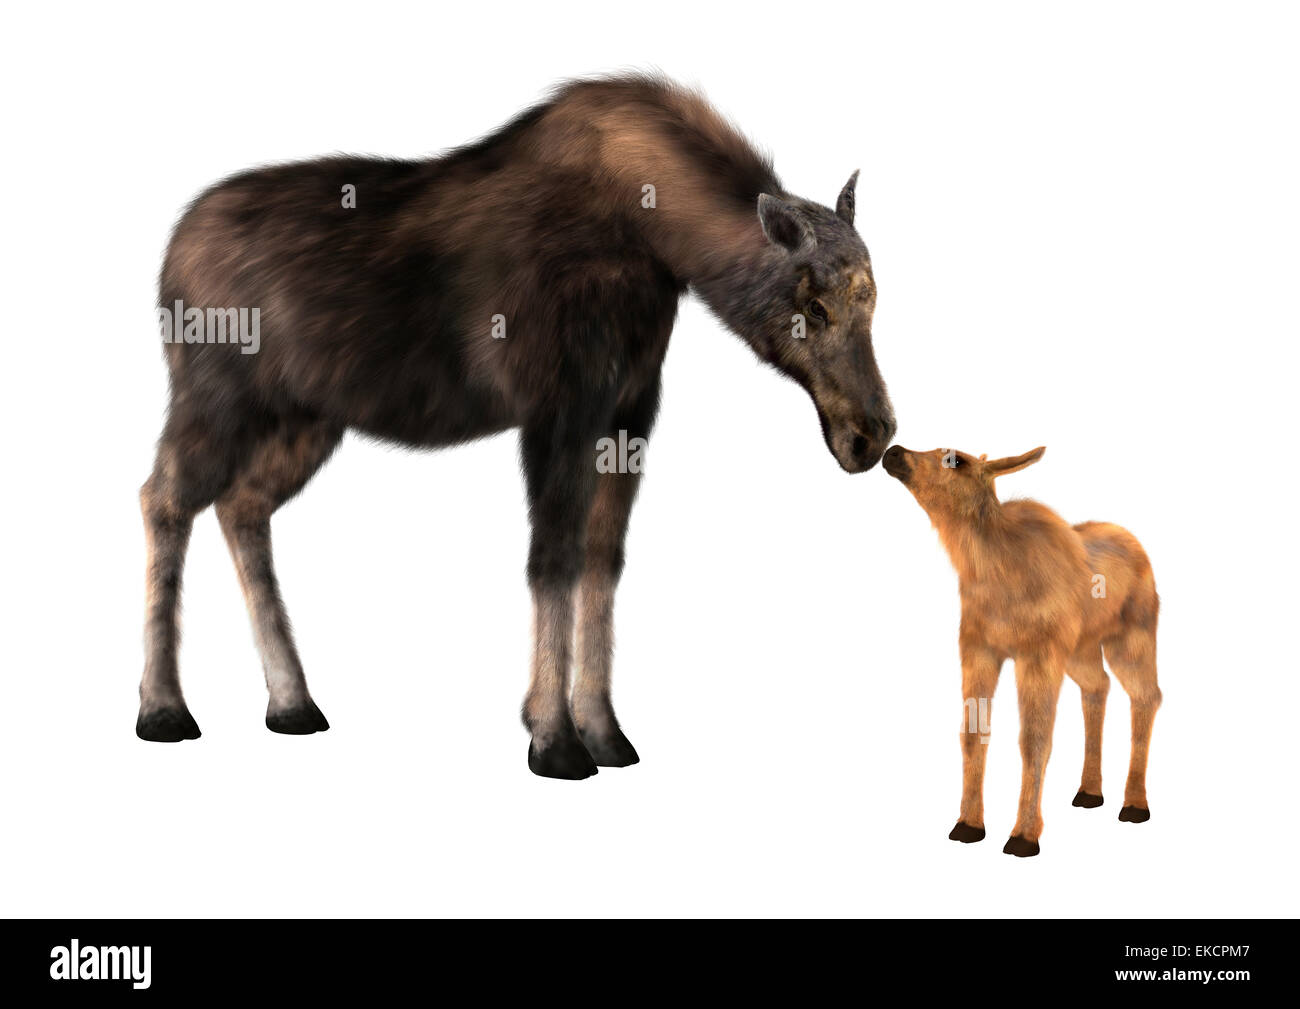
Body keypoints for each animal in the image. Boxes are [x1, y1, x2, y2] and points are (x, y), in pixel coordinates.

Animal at [137, 74, 897, 779]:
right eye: (815, 306)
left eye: (873, 300)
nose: (872, 435)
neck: (661, 251)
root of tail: (169, 257)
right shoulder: (558, 410)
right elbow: (552, 560)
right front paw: (554, 739)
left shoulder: (628, 415)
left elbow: (603, 561)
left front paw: (604, 731)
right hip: (215, 401)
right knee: (164, 498)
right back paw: (163, 708)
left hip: (306, 421)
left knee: (241, 506)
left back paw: (291, 702)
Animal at [882, 444, 1160, 856]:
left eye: (956, 459)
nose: (894, 451)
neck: (989, 570)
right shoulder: (978, 650)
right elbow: (972, 735)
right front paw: (968, 824)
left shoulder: (1038, 655)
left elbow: (1034, 740)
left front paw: (1024, 834)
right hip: (1080, 651)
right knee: (1099, 686)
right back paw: (1090, 790)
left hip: (1130, 639)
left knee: (1146, 696)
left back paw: (1135, 803)